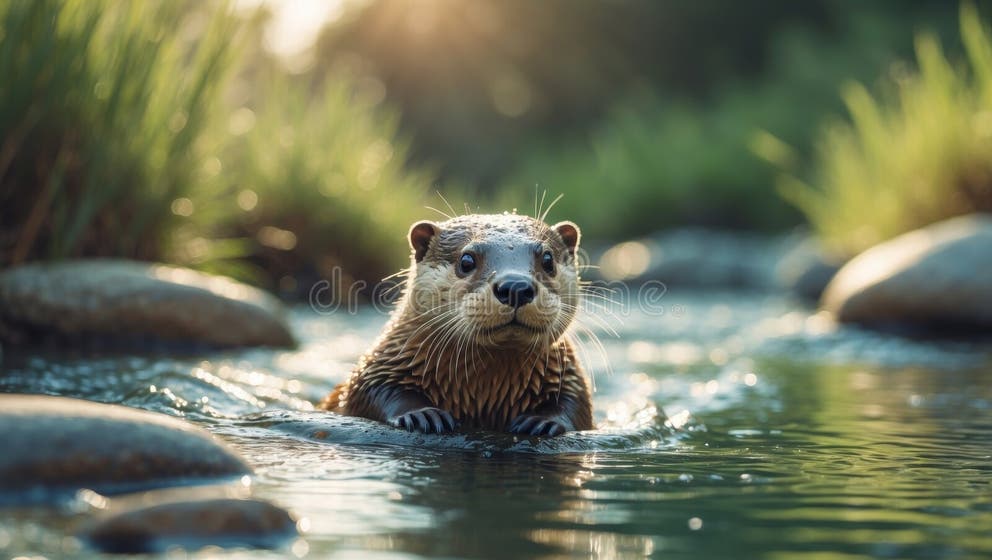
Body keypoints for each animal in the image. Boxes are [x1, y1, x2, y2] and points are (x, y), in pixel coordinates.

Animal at [318, 212, 593, 436]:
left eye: (548, 260)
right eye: (466, 261)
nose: (515, 286)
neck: (484, 390)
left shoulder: (568, 375)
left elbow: (576, 403)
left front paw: (542, 421)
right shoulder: (380, 365)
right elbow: (371, 389)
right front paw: (423, 414)